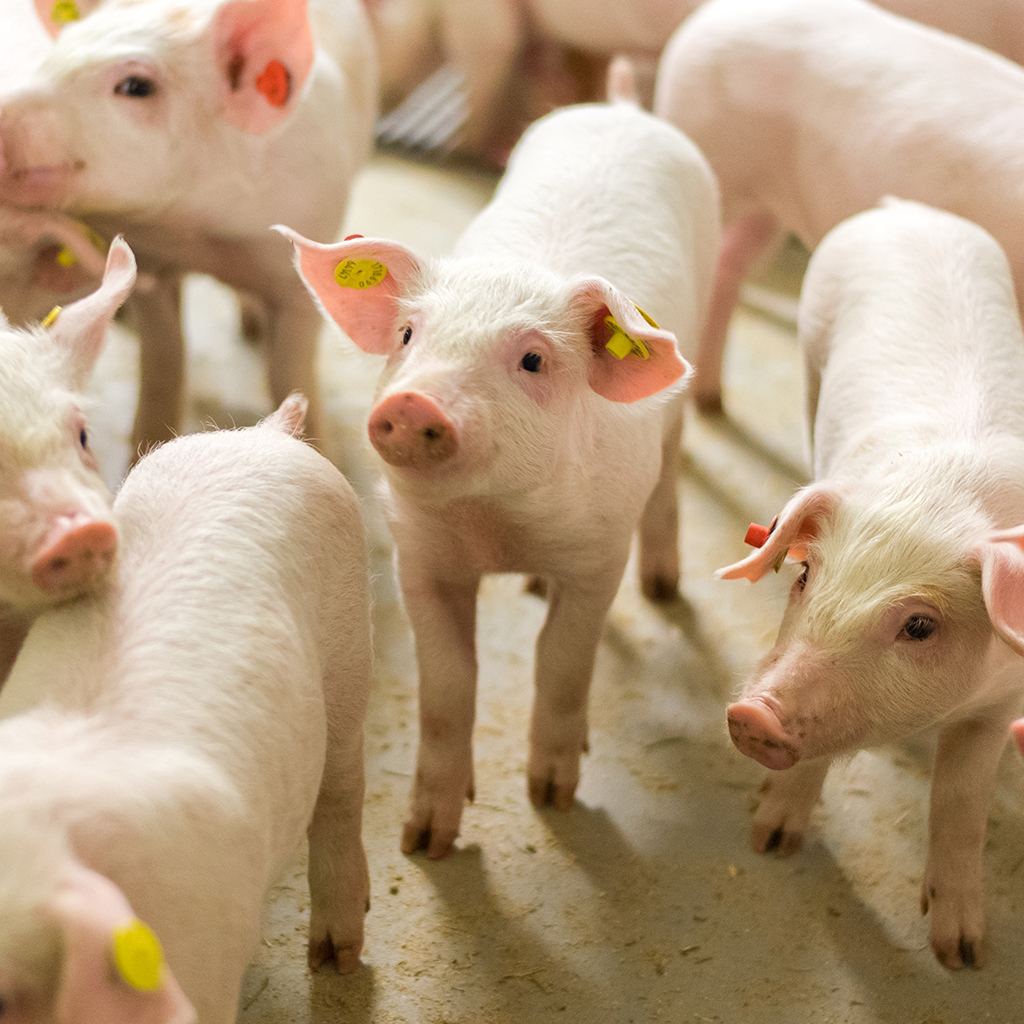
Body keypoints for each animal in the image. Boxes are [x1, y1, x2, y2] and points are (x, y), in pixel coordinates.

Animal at [0, 0, 378, 455]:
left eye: (135, 86)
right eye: (52, 58)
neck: (199, 235)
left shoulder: (302, 267)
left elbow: (290, 368)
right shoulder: (150, 264)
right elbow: (164, 356)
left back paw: (252, 330)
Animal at [280, 88, 720, 859]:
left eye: (533, 360)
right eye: (407, 335)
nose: (412, 402)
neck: (497, 524)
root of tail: (621, 105)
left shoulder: (599, 554)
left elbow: (562, 660)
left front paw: (553, 798)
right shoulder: (421, 559)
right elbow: (449, 685)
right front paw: (425, 842)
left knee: (668, 479)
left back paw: (664, 588)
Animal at [715, 199, 1024, 971]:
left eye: (919, 625)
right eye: (804, 573)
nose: (752, 715)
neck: (934, 495)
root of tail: (903, 209)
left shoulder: (1002, 701)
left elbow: (961, 805)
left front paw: (961, 956)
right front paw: (770, 843)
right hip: (810, 348)